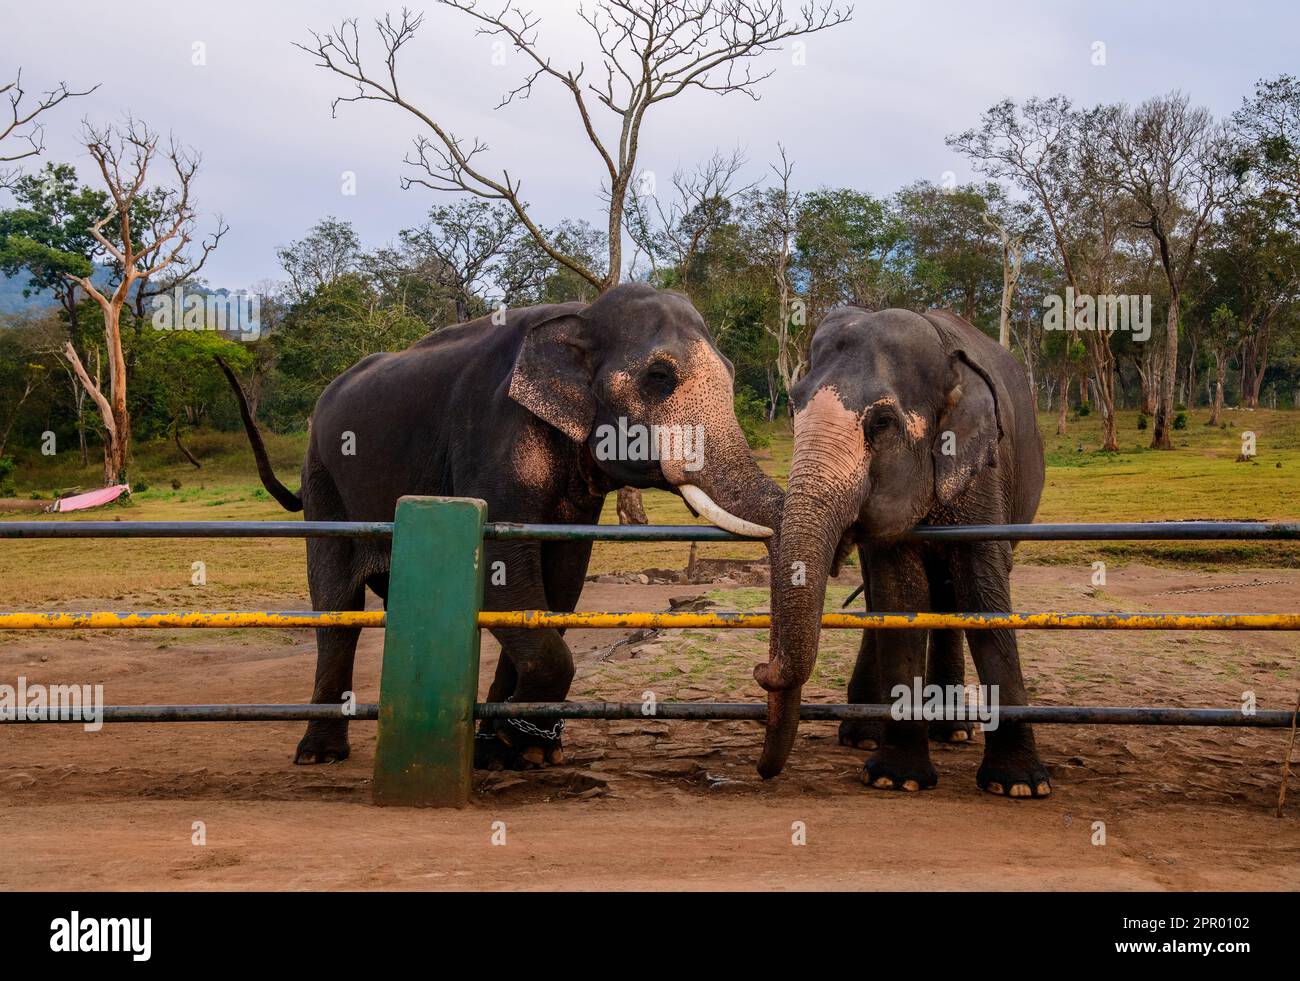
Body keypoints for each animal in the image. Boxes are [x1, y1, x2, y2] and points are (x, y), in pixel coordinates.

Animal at [219, 283, 784, 769]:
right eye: (660, 376)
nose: (764, 674)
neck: (582, 313)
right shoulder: (492, 434)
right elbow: (507, 571)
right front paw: (514, 743)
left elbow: (559, 581)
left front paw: (517, 749)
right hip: (324, 479)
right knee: (337, 602)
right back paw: (320, 754)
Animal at [753, 306, 1050, 798]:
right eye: (793, 409)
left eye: (882, 423)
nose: (762, 669)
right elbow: (898, 597)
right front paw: (896, 778)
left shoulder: (983, 474)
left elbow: (983, 594)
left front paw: (1019, 785)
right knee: (890, 597)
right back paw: (867, 735)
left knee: (952, 597)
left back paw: (952, 731)